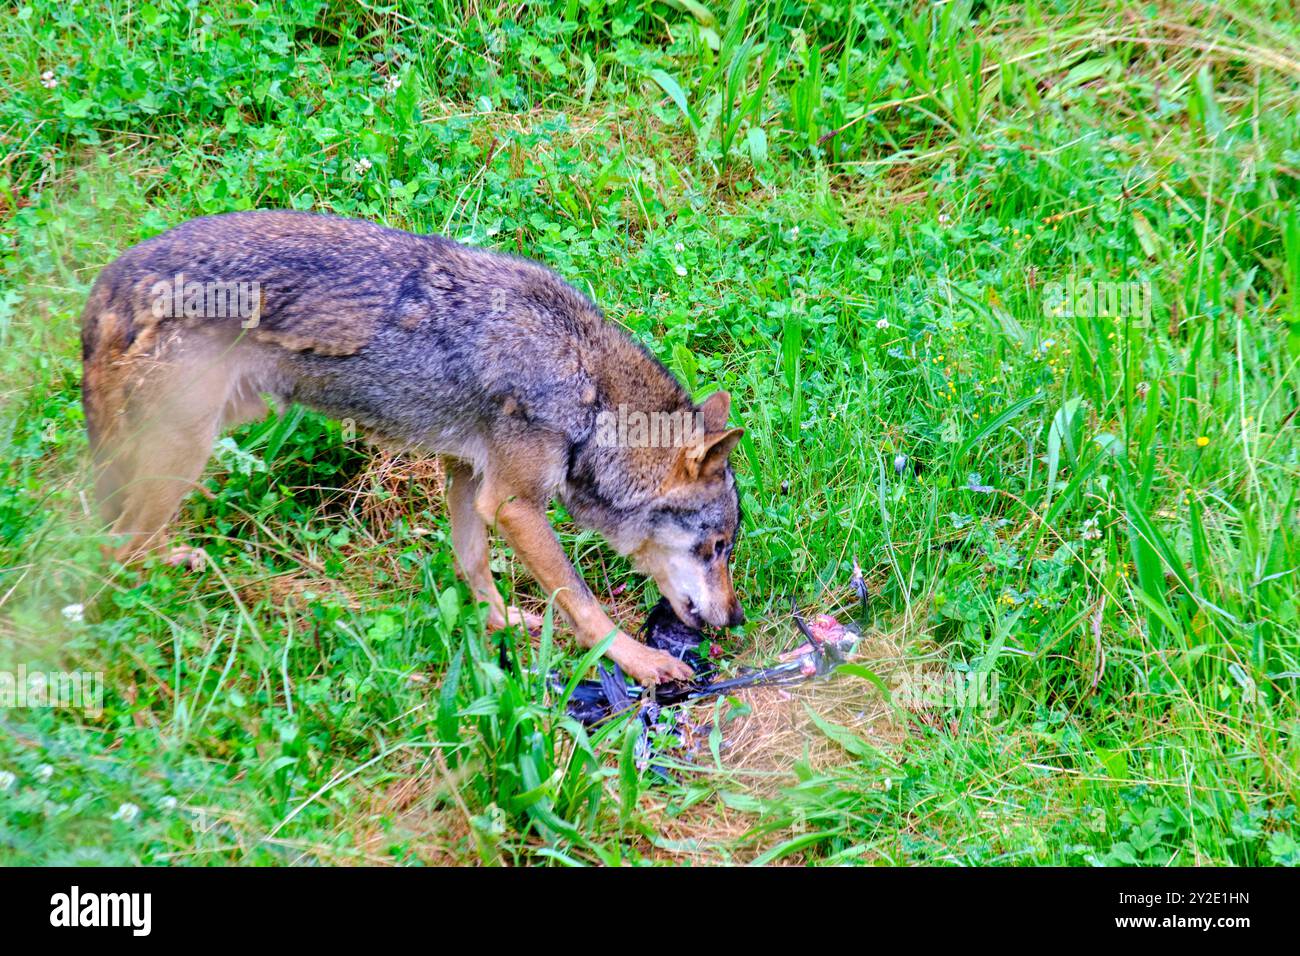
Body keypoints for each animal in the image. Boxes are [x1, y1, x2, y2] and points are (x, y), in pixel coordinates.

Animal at [80, 211, 745, 685]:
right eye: (716, 547)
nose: (737, 618)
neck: (592, 393)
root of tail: (111, 281)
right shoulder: (514, 504)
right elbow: (583, 603)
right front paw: (638, 661)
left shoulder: (469, 475)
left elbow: (473, 563)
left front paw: (500, 624)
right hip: (183, 451)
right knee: (119, 548)